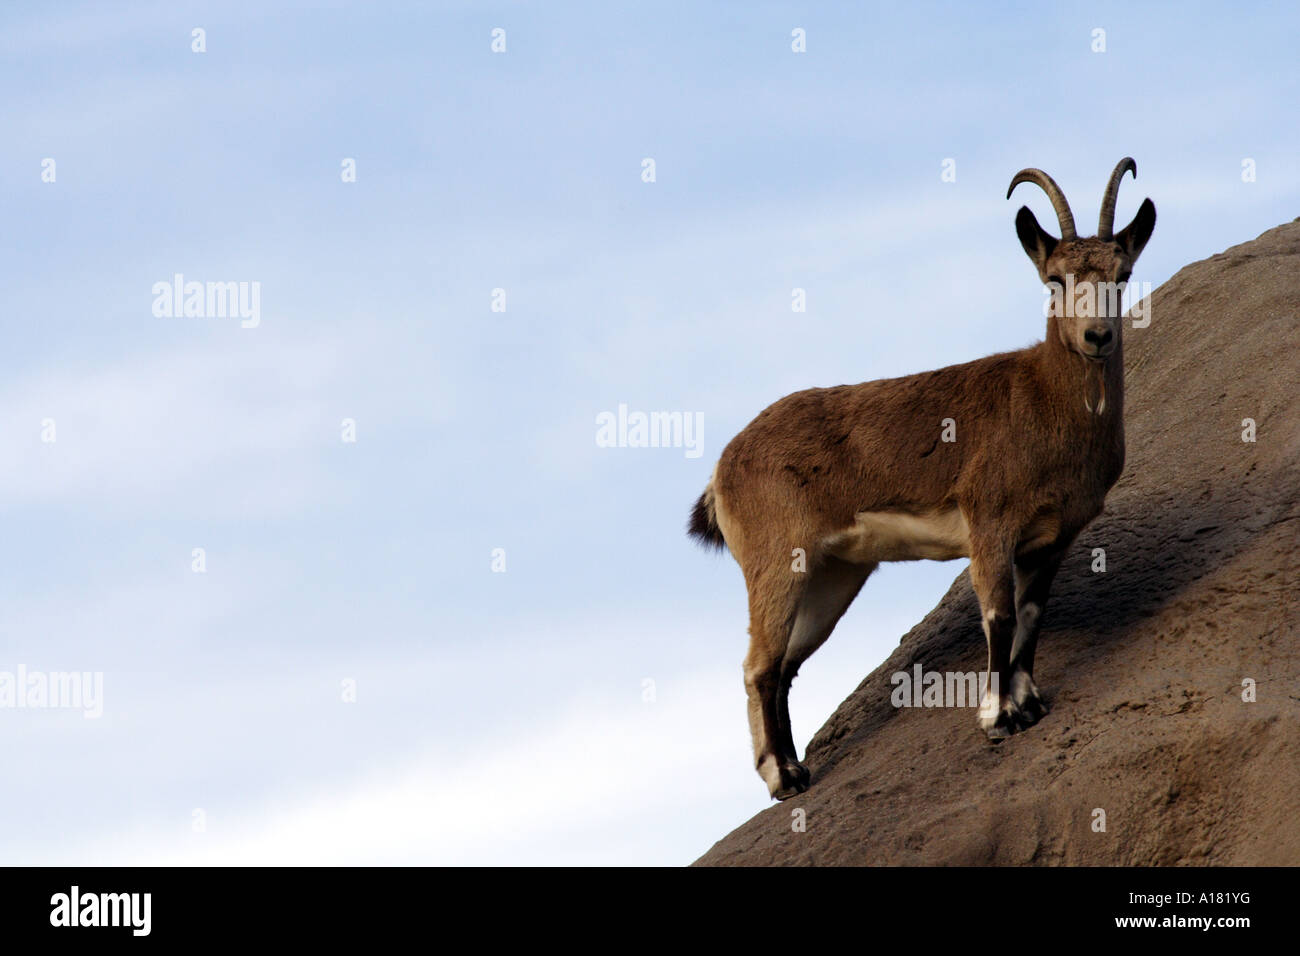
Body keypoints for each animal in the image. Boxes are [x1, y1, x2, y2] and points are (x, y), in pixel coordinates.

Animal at [688, 159, 1156, 799]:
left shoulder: (1052, 538)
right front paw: (997, 718)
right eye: (1055, 280)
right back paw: (780, 776)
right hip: (776, 561)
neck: (1043, 402)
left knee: (784, 664)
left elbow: (1032, 614)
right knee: (758, 665)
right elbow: (998, 615)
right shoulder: (989, 522)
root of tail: (721, 472)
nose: (1096, 337)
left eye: (1123, 274)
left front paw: (1030, 704)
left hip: (833, 574)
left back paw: (798, 771)